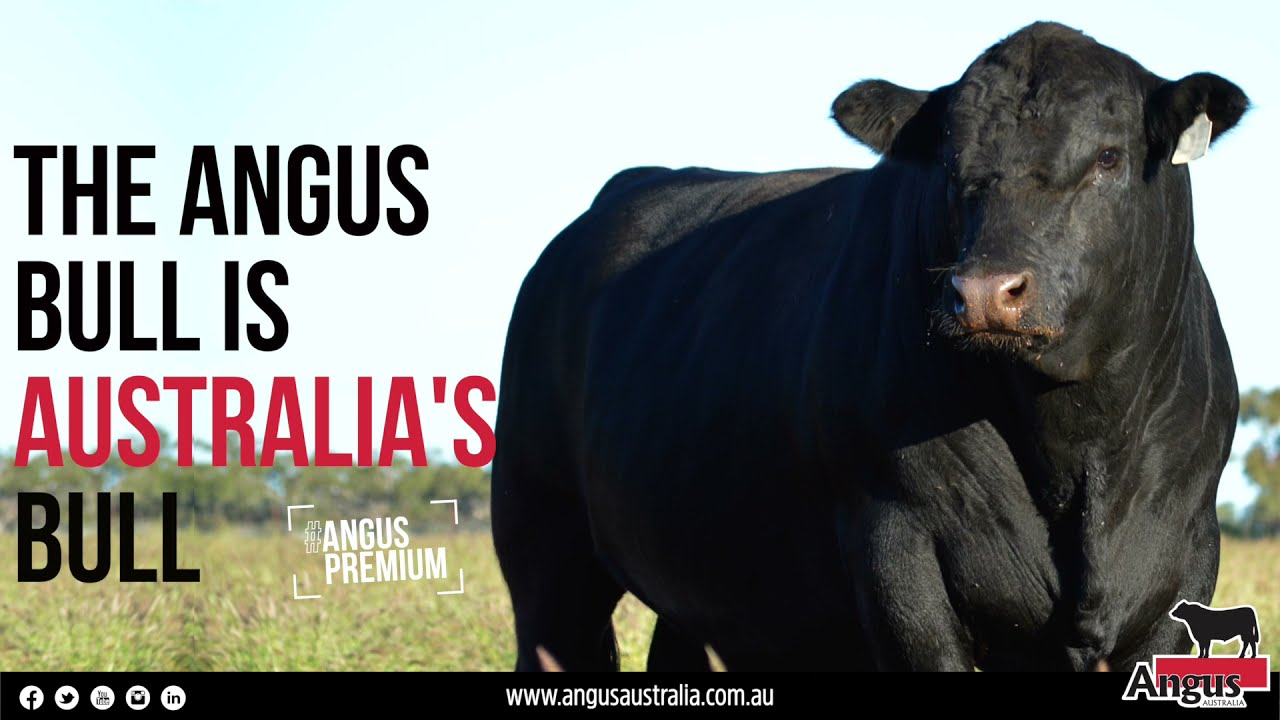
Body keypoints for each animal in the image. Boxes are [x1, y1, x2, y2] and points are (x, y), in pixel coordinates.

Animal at [491, 21, 1248, 671]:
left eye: (1108, 157)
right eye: (949, 164)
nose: (984, 291)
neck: (1072, 447)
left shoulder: (1182, 561)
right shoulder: (898, 549)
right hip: (542, 538)